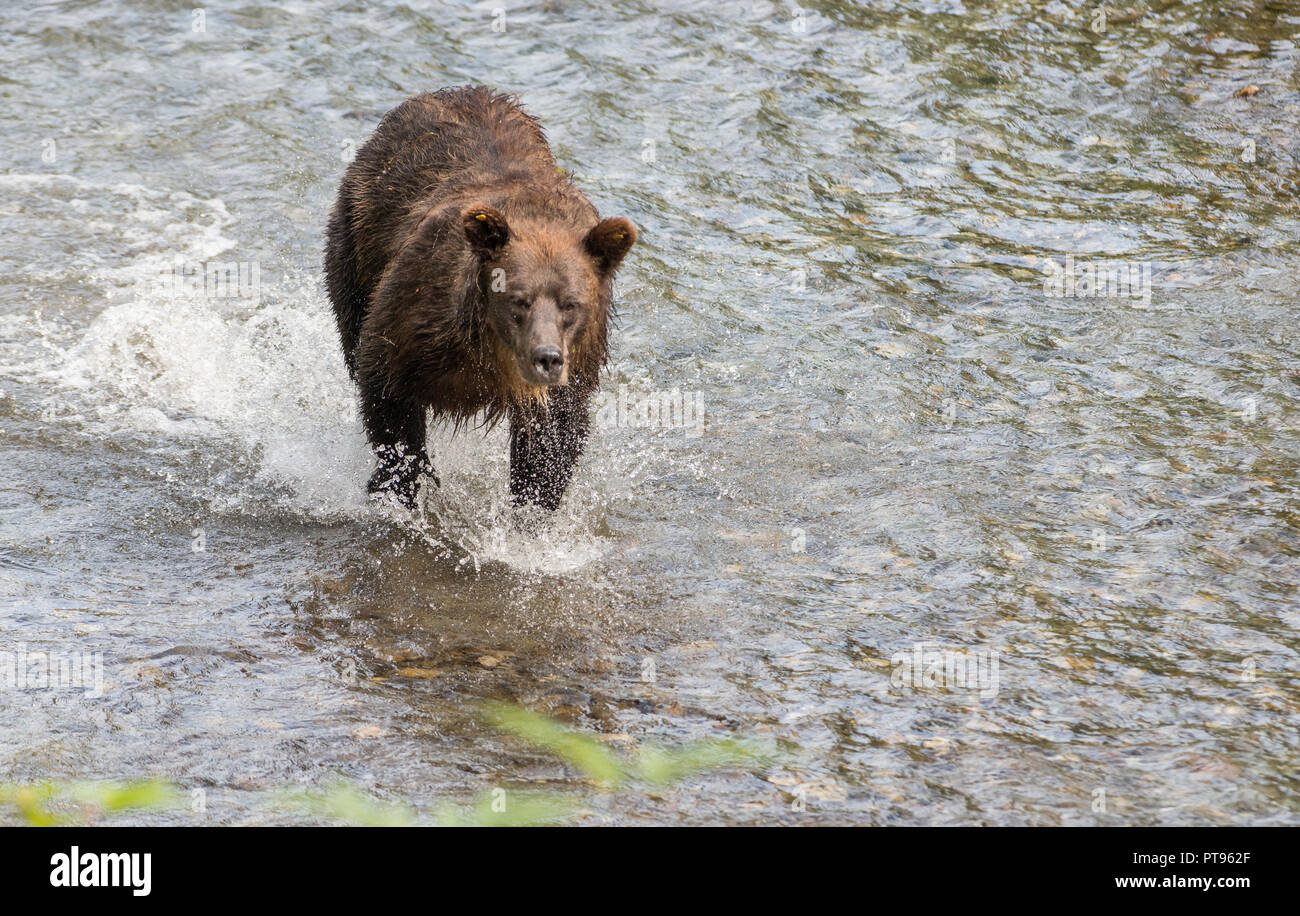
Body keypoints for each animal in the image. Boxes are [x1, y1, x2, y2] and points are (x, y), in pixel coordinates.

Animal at [324, 86, 637, 511]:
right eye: (519, 300)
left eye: (571, 304)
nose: (547, 358)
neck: (491, 355)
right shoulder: (416, 315)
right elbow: (385, 394)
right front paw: (400, 484)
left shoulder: (576, 364)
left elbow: (551, 444)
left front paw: (532, 507)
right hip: (356, 238)